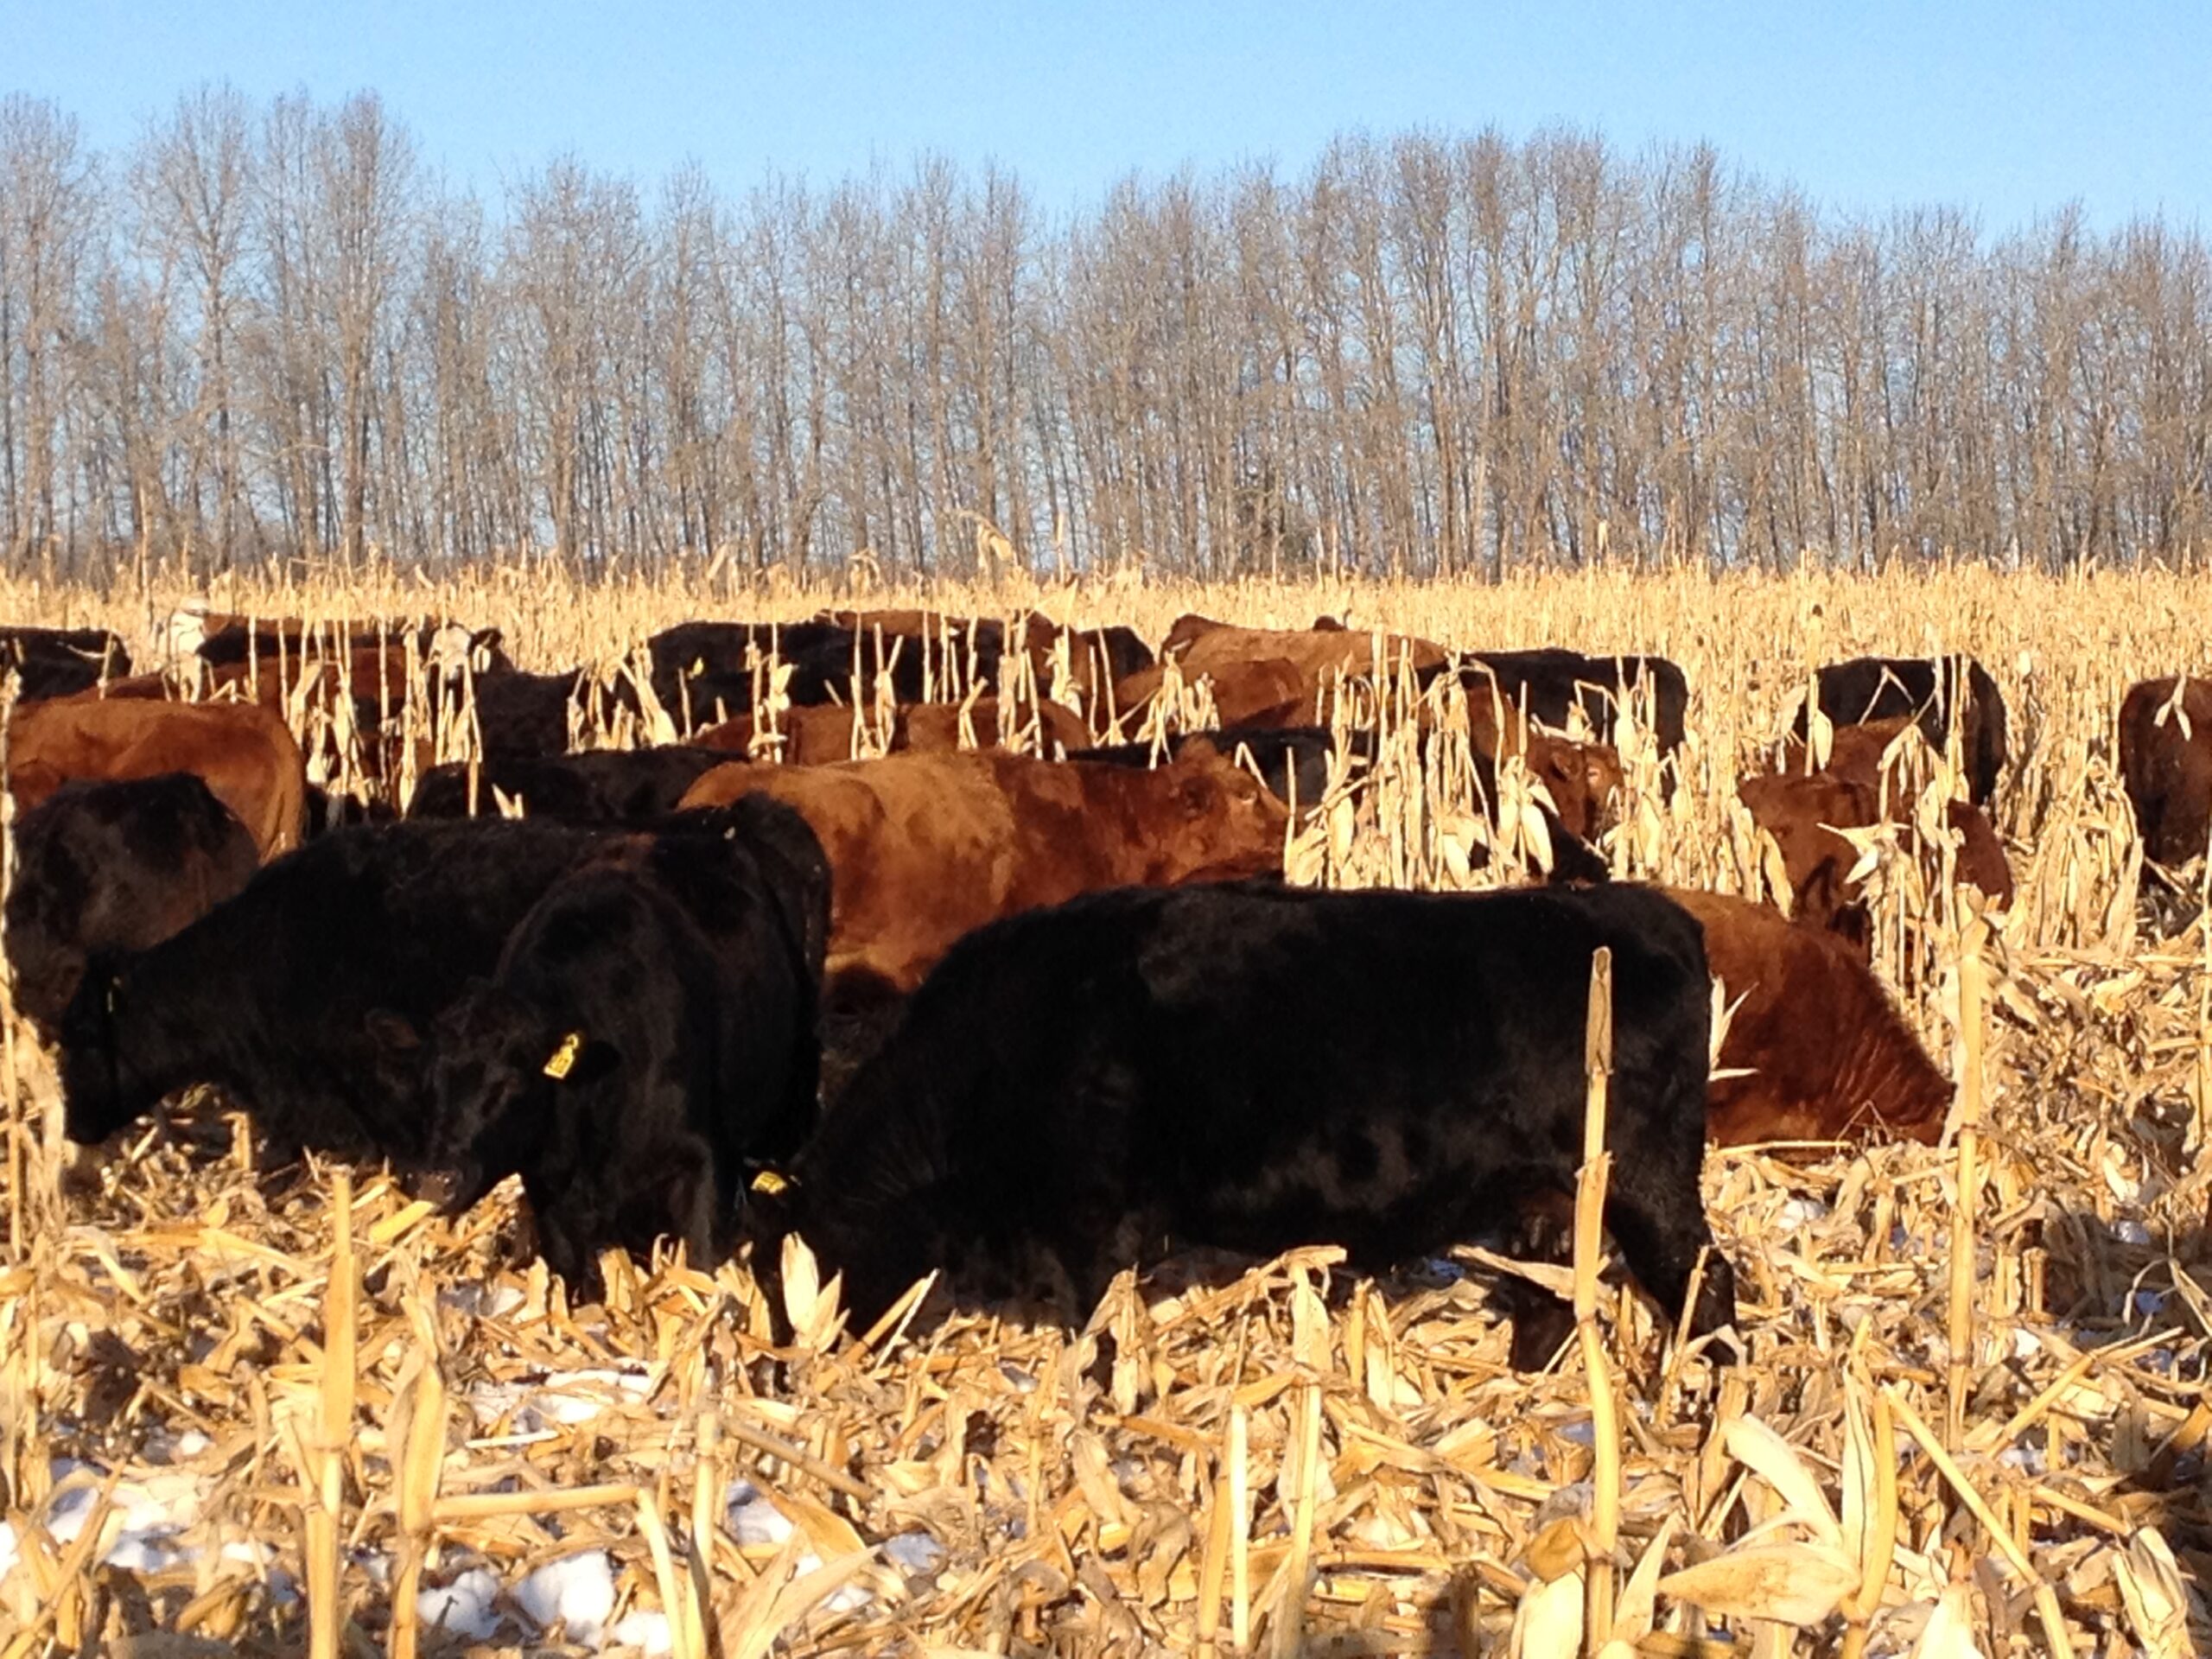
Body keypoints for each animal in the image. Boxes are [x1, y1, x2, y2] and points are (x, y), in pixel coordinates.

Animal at [422, 822, 828, 1291]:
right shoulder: (549, 1191)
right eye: (433, 1079)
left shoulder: (703, 1157)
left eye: (509, 1083)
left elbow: (704, 1265)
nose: (437, 1181)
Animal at [744, 880, 1737, 1356]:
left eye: (796, 1265)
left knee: (1707, 1284)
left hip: (1646, 1182)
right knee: (1551, 1289)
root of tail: (1654, 913)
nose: (789, 1360)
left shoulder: (1092, 1226)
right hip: (1554, 1195)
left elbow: (1100, 1335)